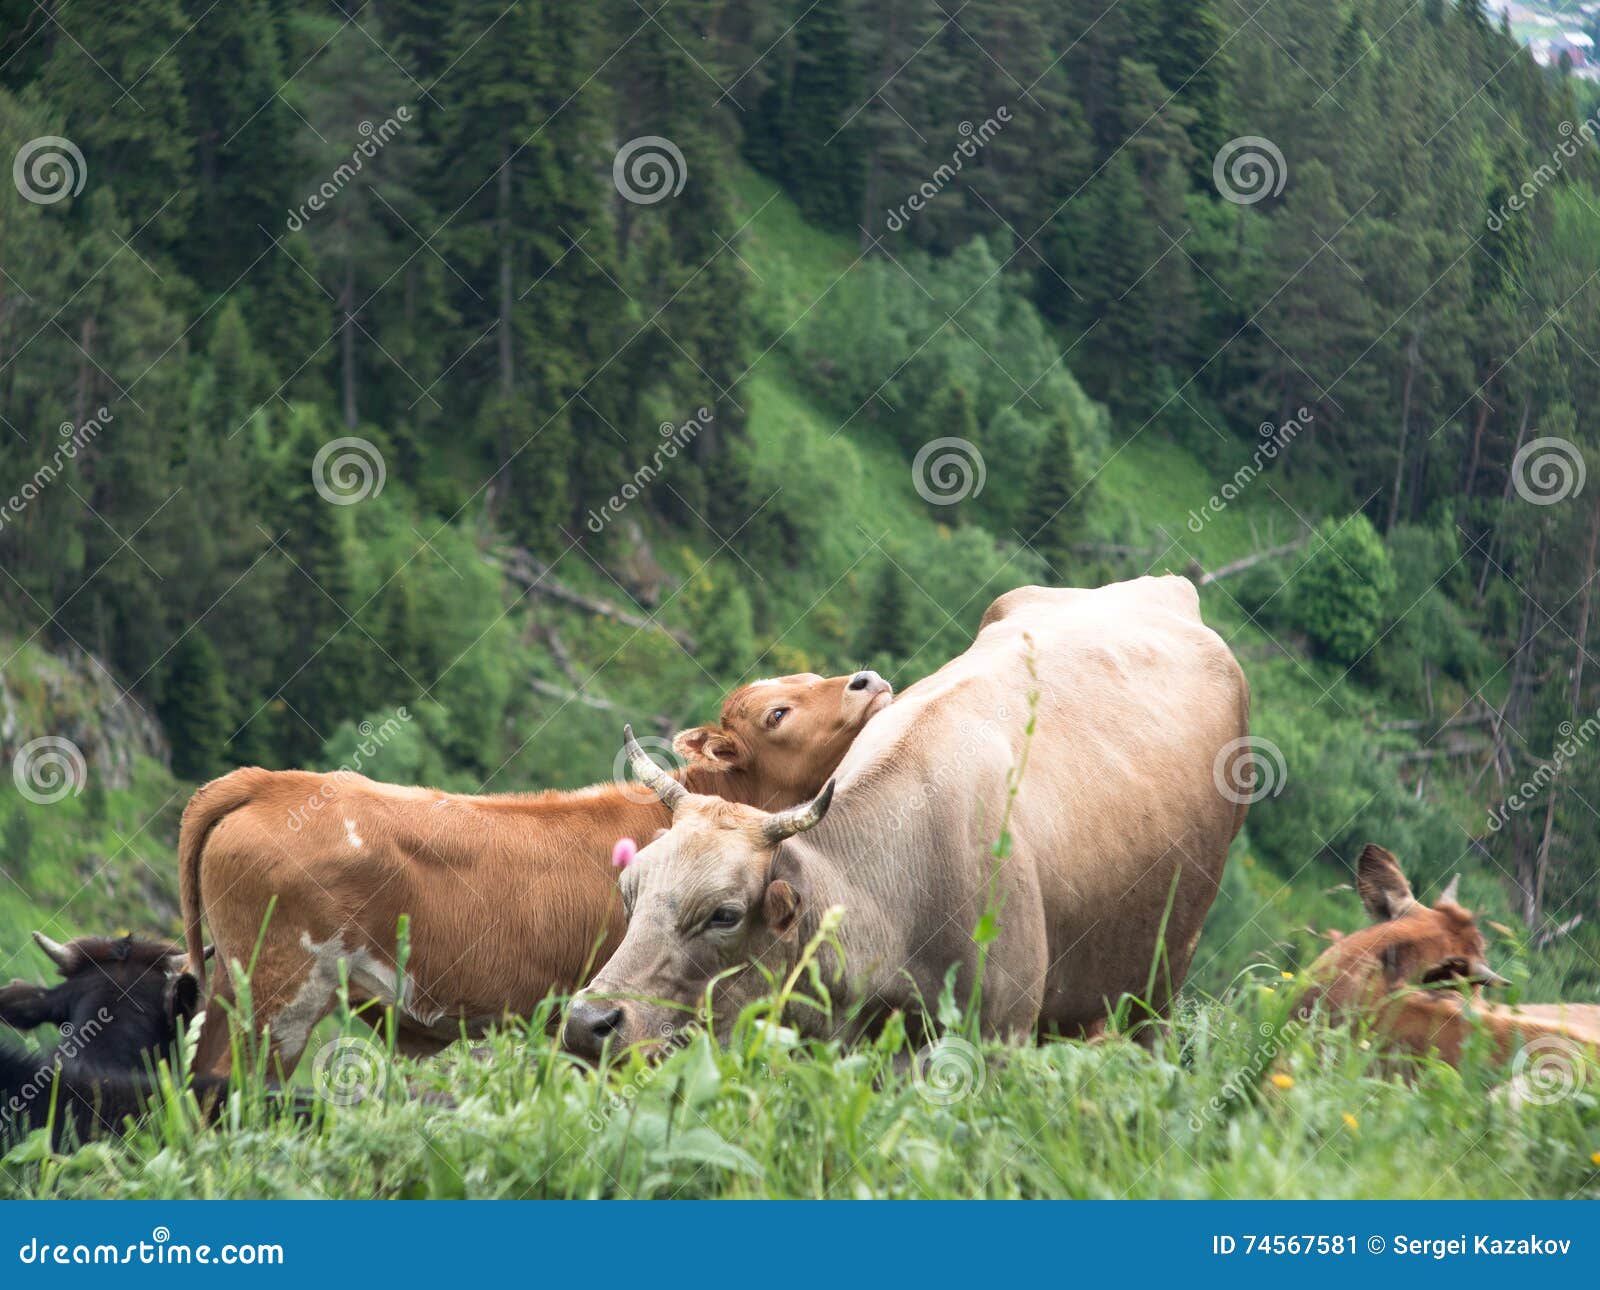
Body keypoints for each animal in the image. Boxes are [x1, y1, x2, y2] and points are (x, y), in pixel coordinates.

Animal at [564, 577, 1251, 1059]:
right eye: (629, 890)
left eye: (725, 915)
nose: (586, 1022)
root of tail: (1163, 585)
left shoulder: (998, 1038)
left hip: (1162, 977)